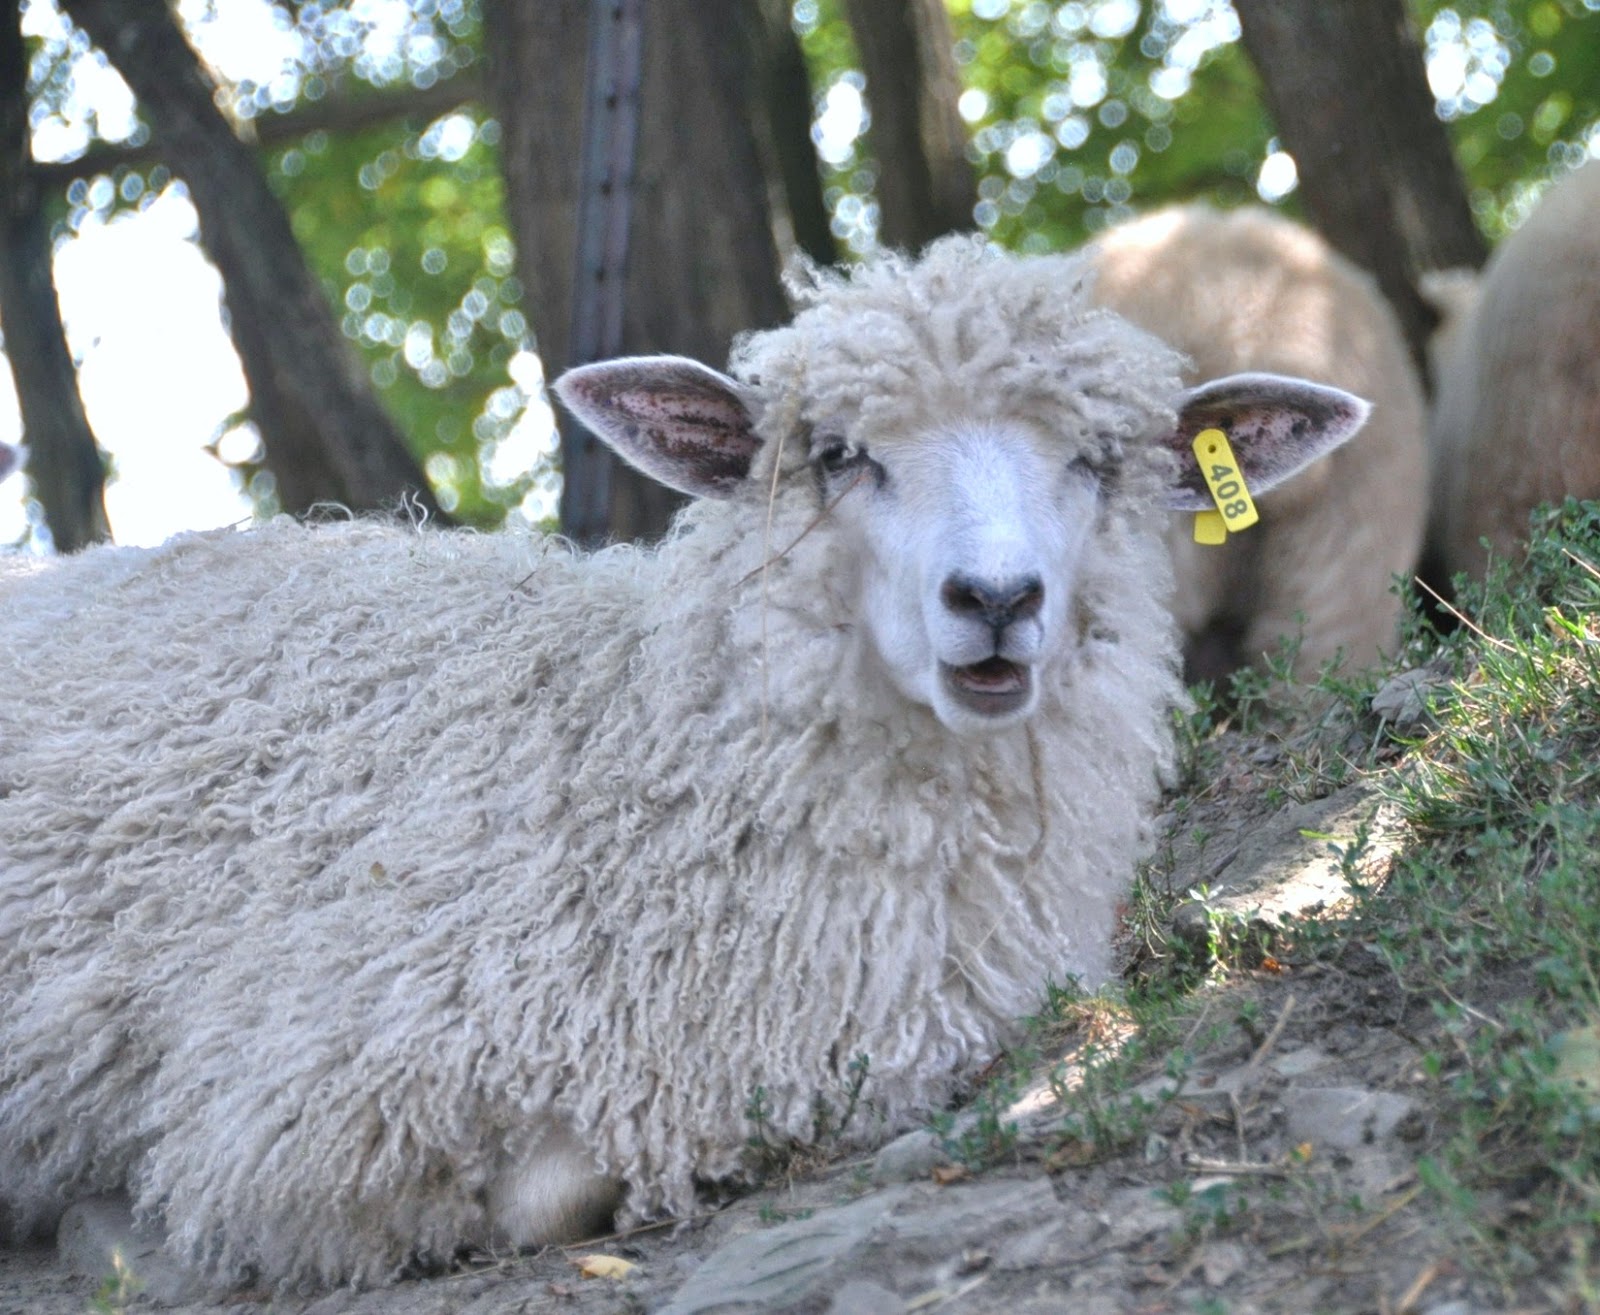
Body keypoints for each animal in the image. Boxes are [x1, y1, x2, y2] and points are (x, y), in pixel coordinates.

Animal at [0, 236, 1368, 1293]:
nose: (994, 600)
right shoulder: (305, 1100)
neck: (636, 753)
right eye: (835, 452)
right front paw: (125, 1223)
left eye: (1096, 460)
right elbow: (544, 1189)